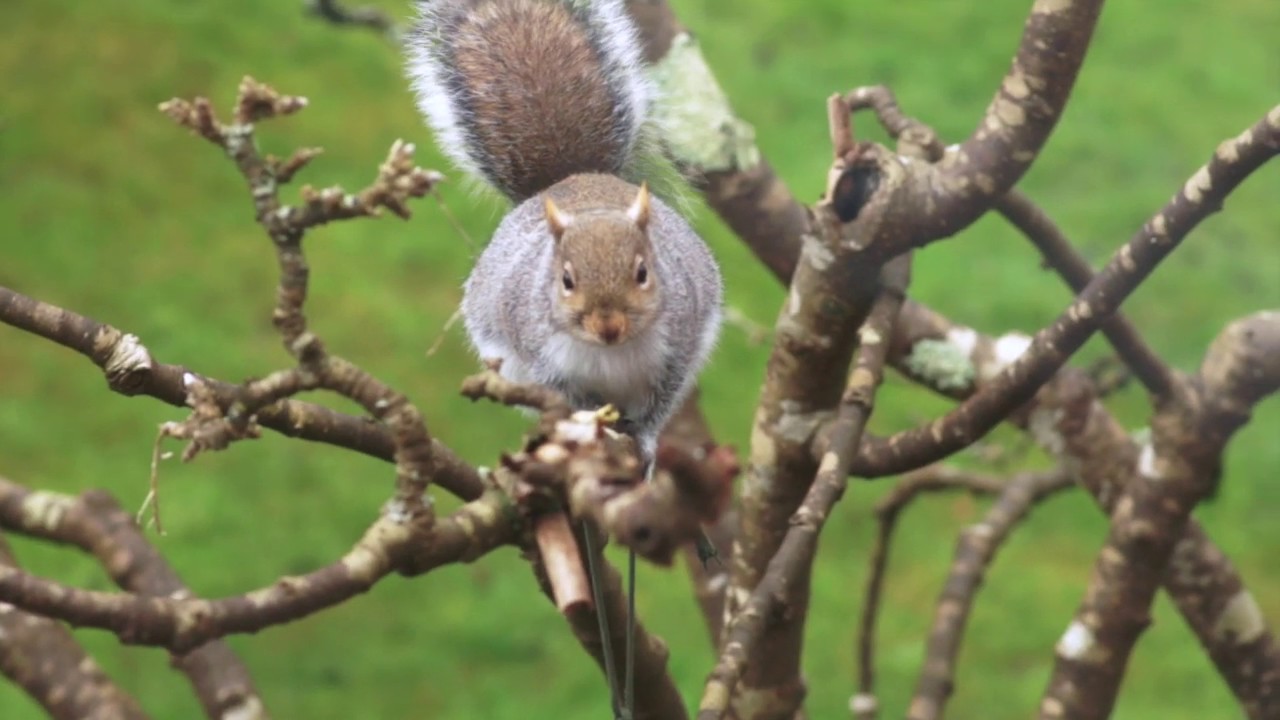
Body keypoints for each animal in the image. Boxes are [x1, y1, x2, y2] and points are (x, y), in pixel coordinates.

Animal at [406, 0, 724, 462]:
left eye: (643, 273)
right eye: (566, 280)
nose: (608, 326)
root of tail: (570, 178)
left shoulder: (678, 348)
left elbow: (659, 406)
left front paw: (645, 442)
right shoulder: (539, 356)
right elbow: (565, 394)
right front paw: (587, 420)